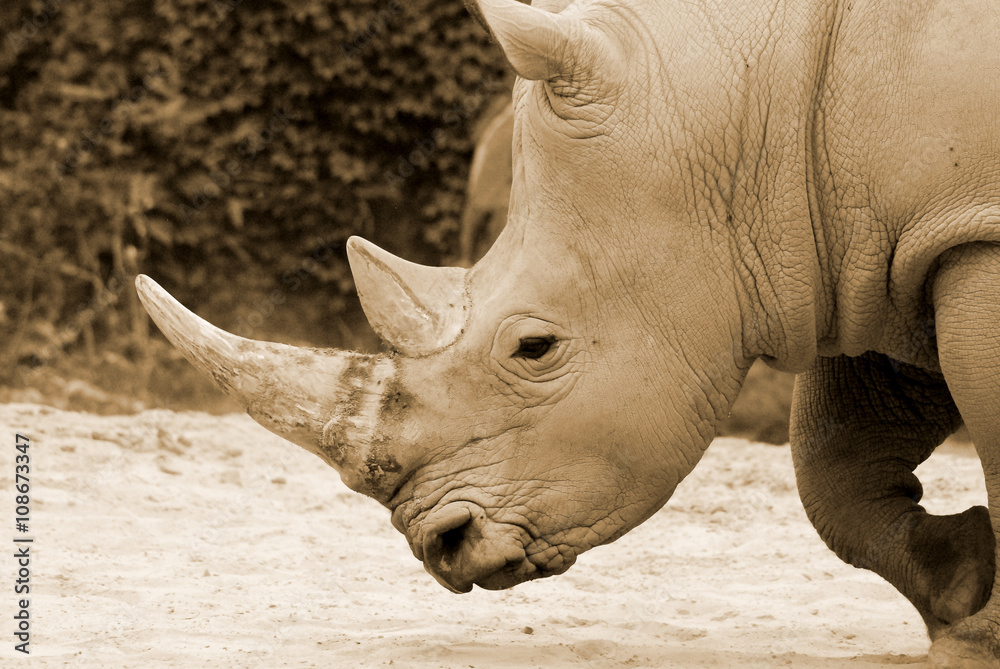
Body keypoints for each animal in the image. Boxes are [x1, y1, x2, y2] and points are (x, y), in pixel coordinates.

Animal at [136, 0, 1000, 665]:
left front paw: (974, 639)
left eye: (534, 347)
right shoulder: (881, 248)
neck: (754, 109)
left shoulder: (967, 235)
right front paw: (963, 582)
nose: (443, 544)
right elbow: (831, 464)